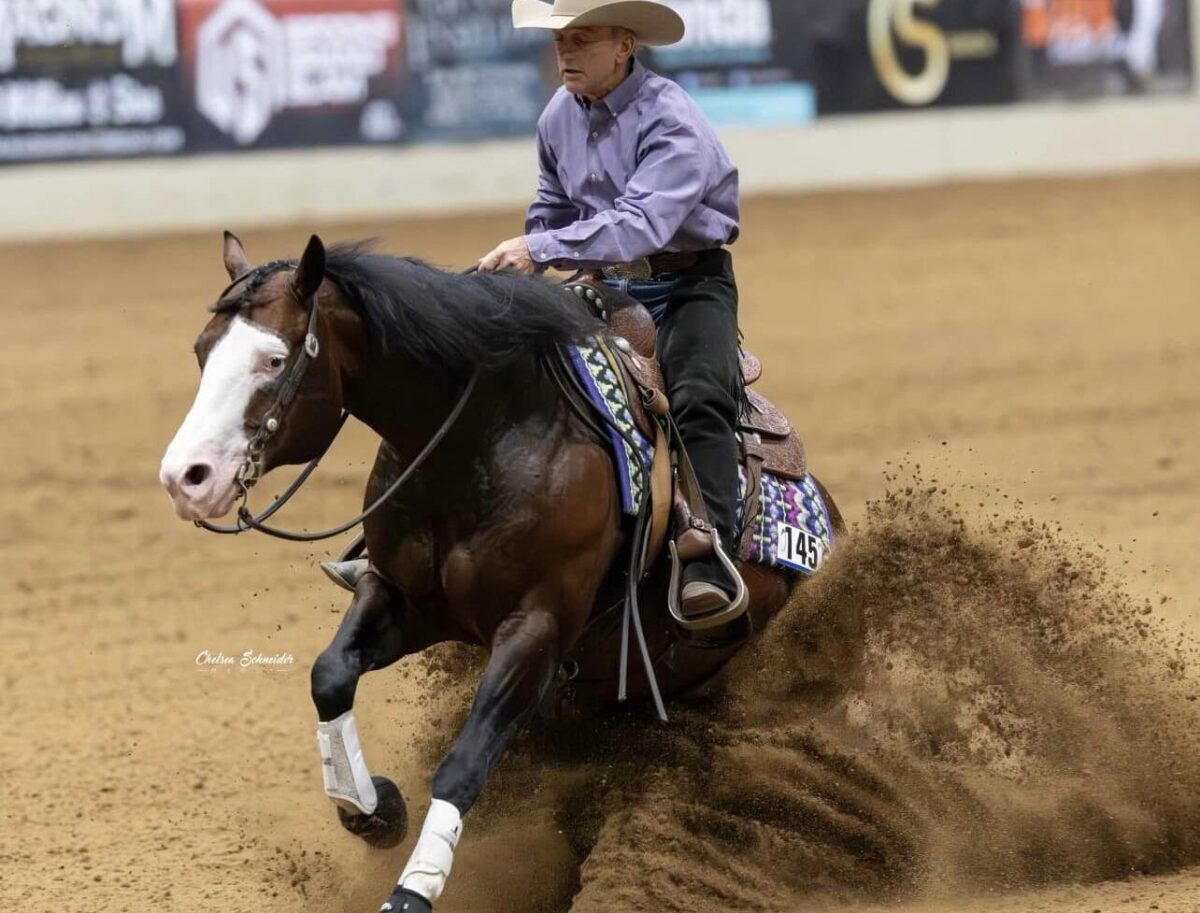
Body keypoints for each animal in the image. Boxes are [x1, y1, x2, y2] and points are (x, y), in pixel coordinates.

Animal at [159, 233, 843, 912]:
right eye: (201, 350)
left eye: (274, 359)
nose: (184, 478)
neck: (488, 438)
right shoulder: (404, 600)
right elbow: (330, 675)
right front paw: (372, 809)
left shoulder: (536, 627)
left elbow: (465, 761)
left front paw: (412, 890)